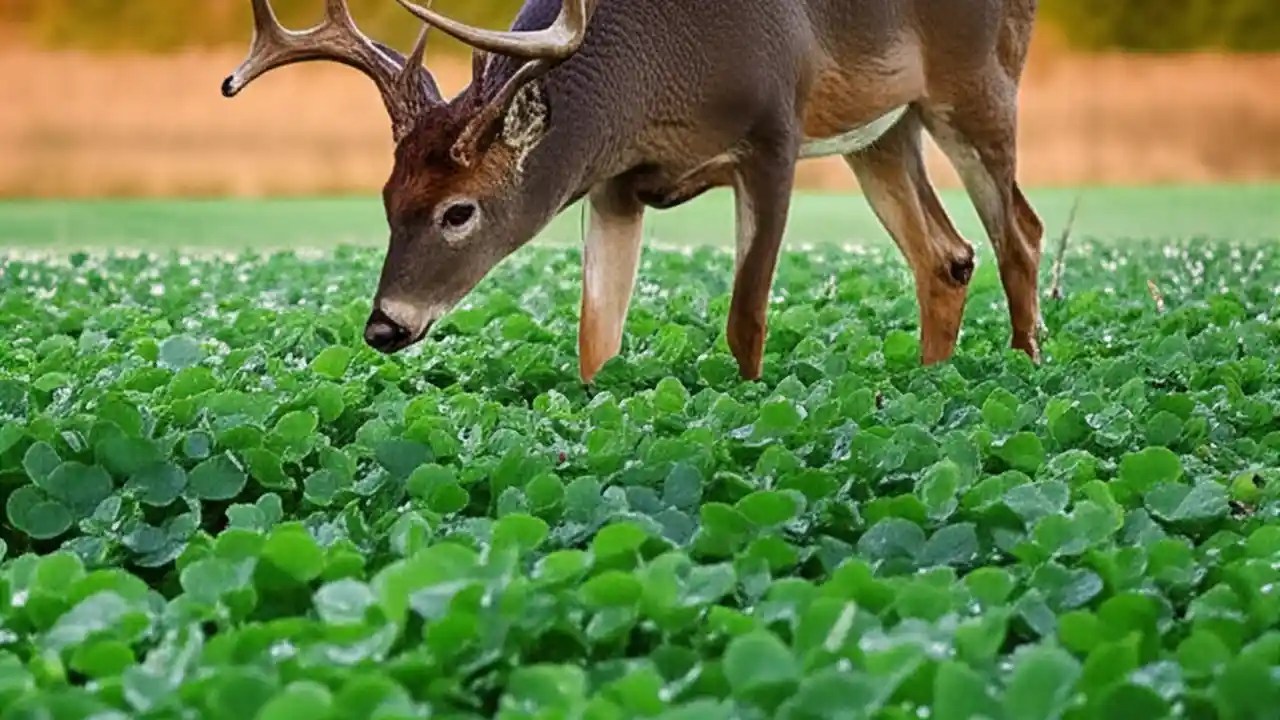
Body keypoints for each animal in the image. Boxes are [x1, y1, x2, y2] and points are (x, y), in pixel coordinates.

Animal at [221, 0, 1045, 383]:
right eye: (387, 202)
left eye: (460, 211)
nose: (385, 326)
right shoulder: (613, 183)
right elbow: (597, 336)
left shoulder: (774, 136)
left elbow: (746, 320)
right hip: (882, 130)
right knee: (946, 255)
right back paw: (930, 379)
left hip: (978, 84)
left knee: (1020, 234)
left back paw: (1024, 370)